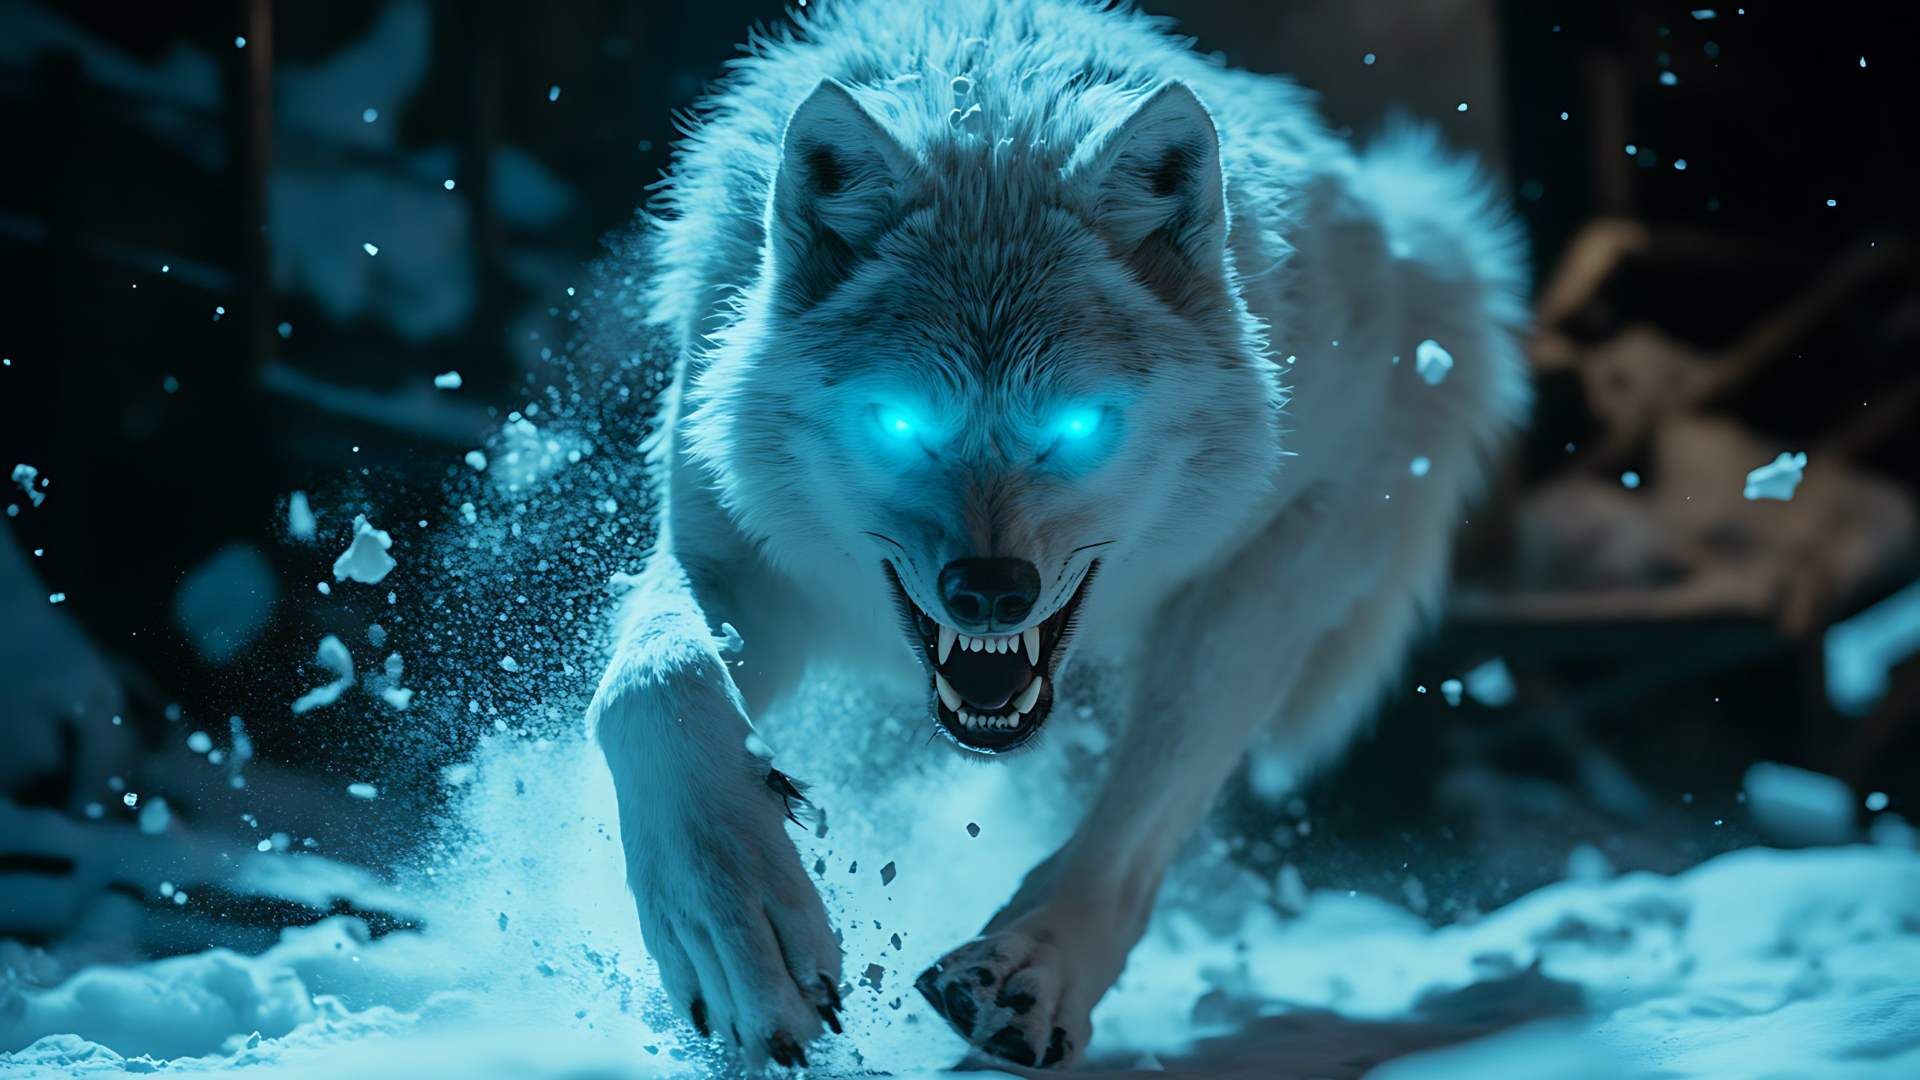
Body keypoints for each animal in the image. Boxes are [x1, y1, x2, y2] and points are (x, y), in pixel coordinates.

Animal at [587, 0, 1528, 1068]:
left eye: (1076, 428)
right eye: (900, 422)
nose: (990, 590)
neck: (994, 123)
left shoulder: (1283, 546)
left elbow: (1148, 808)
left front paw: (1036, 964)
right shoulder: (734, 560)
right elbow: (653, 686)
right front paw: (731, 929)